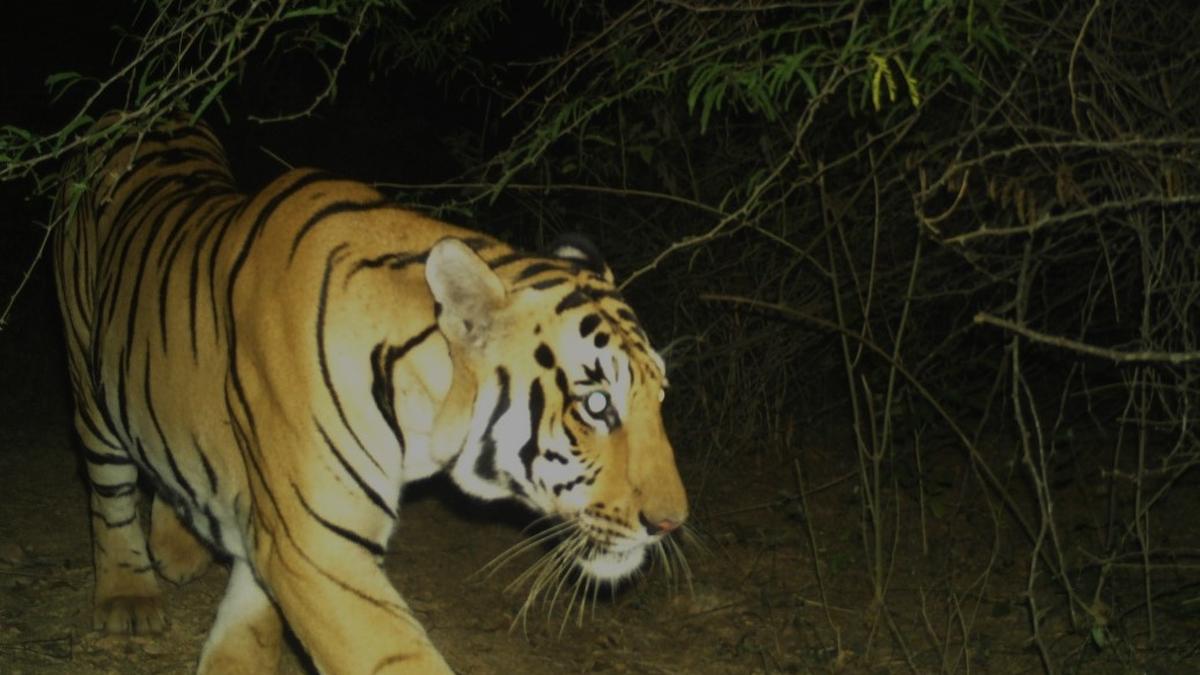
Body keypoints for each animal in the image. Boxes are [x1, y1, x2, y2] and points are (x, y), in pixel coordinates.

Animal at [52, 112, 688, 674]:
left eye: (661, 396)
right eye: (597, 404)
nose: (671, 524)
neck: (424, 416)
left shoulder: (280, 530)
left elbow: (249, 623)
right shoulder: (316, 542)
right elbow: (393, 654)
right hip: (90, 385)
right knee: (109, 492)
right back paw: (128, 597)